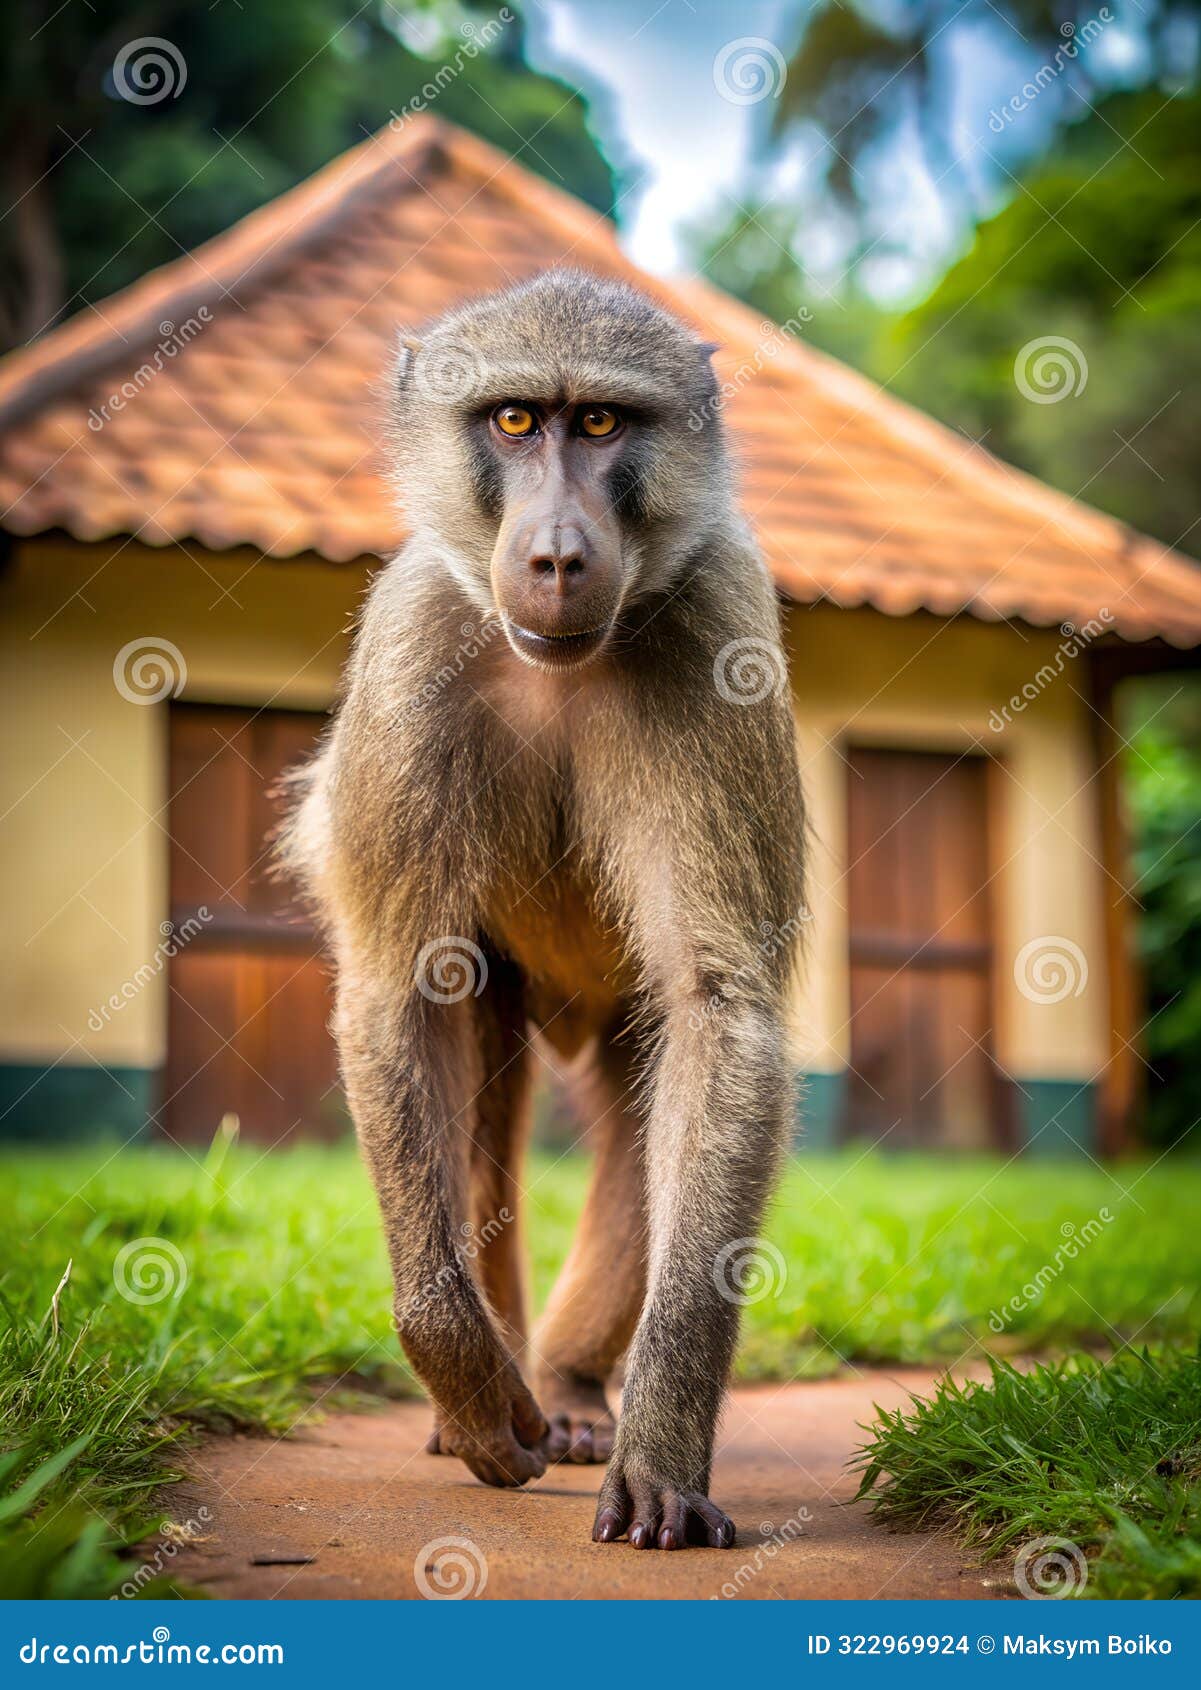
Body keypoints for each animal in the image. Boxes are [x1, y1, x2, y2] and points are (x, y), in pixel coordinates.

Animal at [281, 268, 806, 1551]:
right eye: (516, 421)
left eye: (603, 423)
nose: (561, 554)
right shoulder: (412, 636)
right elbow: (402, 993)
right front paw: (467, 1383)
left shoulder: (721, 618)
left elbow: (717, 1011)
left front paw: (659, 1443)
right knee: (476, 1069)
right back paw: (495, 1386)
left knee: (641, 1106)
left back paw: (569, 1391)